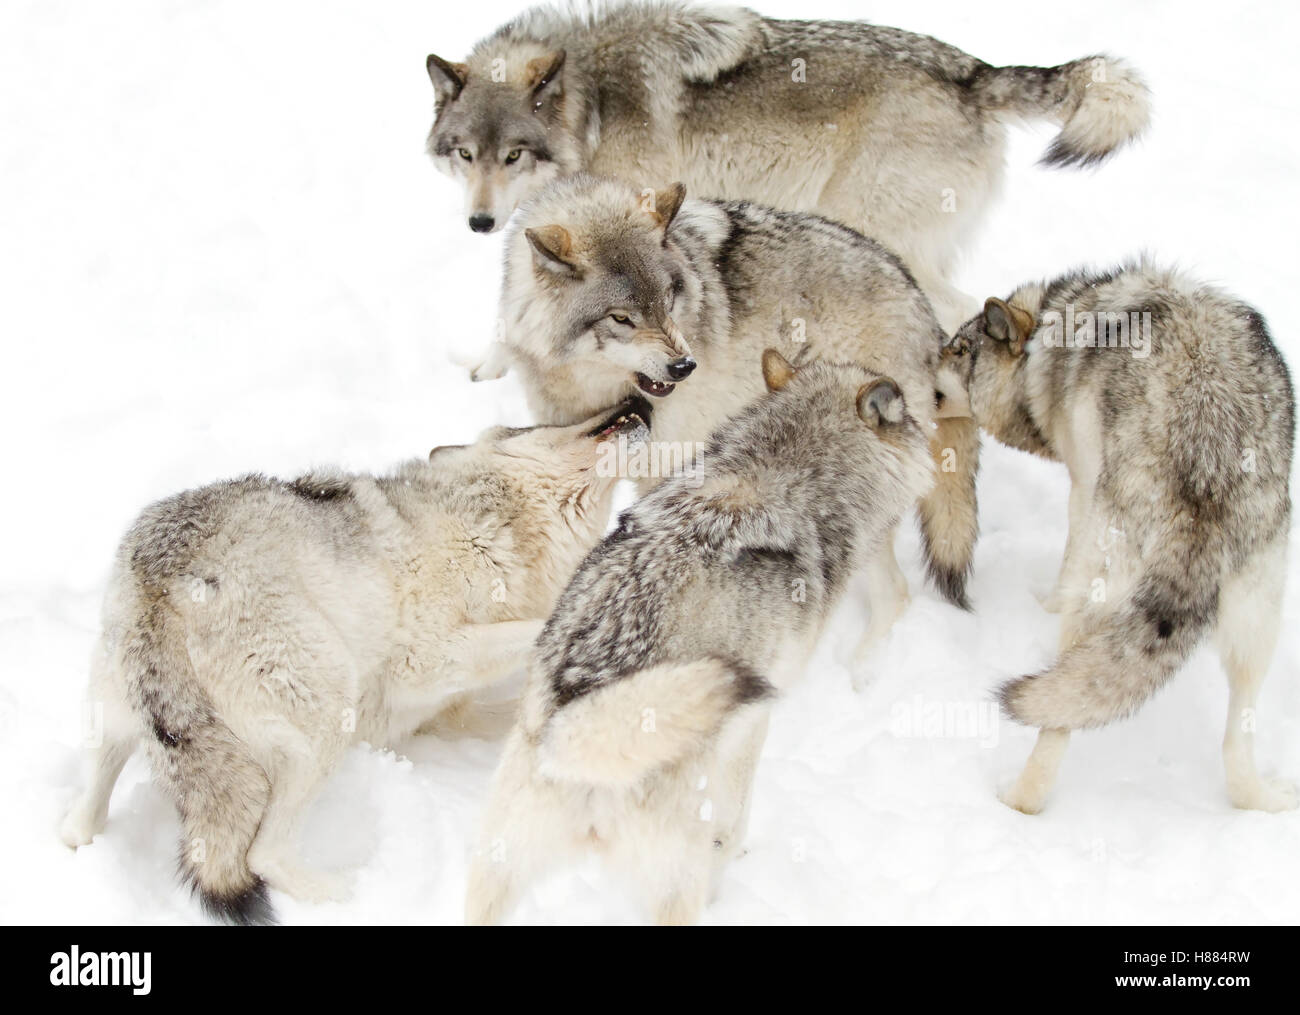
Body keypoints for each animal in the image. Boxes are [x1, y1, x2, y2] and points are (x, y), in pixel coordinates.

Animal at [58, 400, 650, 920]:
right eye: (532, 425)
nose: (639, 401)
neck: (493, 527)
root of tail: (160, 580)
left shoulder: (446, 714)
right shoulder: (424, 659)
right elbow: (535, 630)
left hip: (117, 727)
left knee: (83, 817)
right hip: (328, 707)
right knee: (262, 854)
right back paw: (342, 896)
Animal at [426, 0, 1149, 324]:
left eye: (513, 155)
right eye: (465, 155)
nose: (479, 224)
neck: (591, 100)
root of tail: (975, 74)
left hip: (876, 233)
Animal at [467, 353, 935, 920]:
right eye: (910, 416)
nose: (930, 427)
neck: (788, 473)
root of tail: (570, 735)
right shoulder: (753, 724)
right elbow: (733, 822)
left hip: (495, 875)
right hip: (673, 881)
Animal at [941, 261, 1294, 816]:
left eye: (957, 350)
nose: (917, 360)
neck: (1050, 333)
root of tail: (1207, 461)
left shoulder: (1083, 489)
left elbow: (1064, 566)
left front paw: (1043, 604)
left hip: (1103, 595)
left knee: (1057, 722)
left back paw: (1018, 799)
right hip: (1259, 629)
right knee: (1237, 748)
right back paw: (1266, 800)